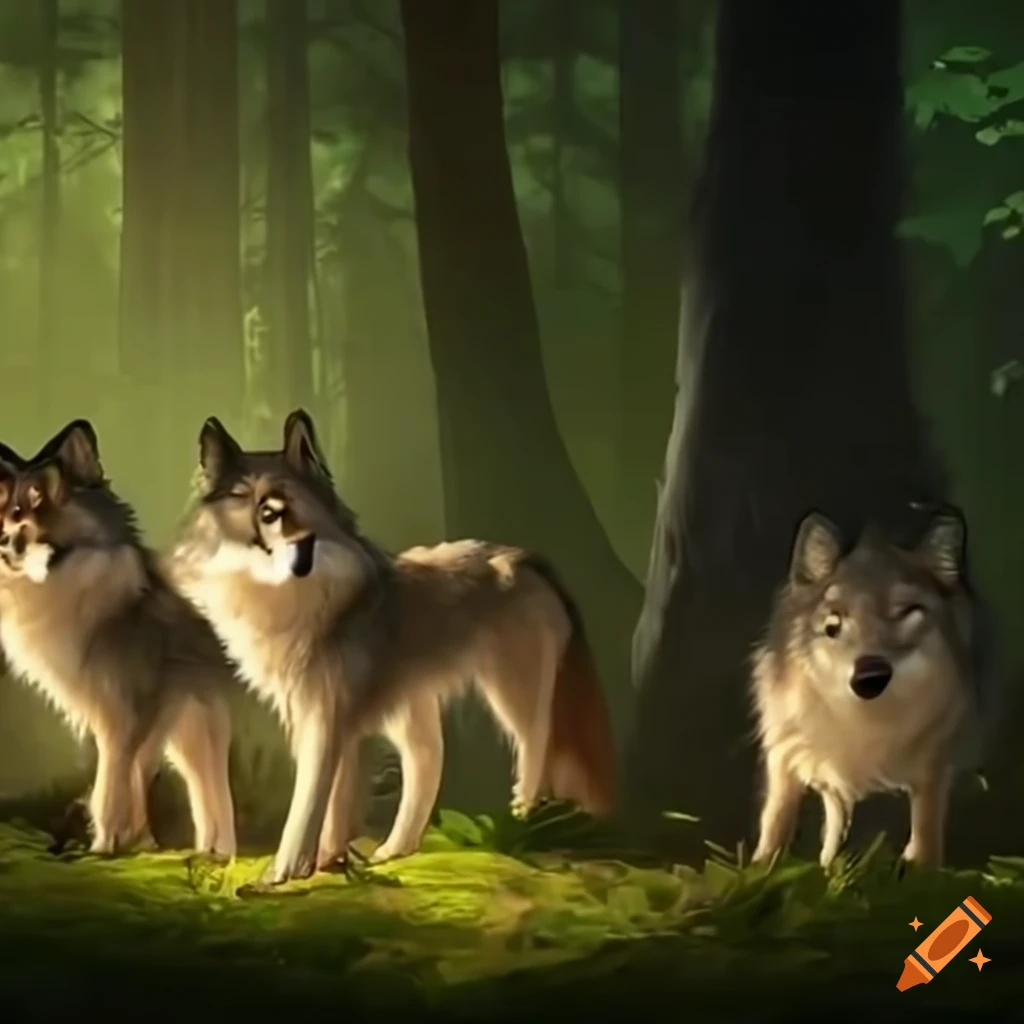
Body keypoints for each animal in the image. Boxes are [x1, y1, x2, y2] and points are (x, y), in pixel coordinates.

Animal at [0, 421, 237, 857]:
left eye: (45, 498)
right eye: (10, 510)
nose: (8, 543)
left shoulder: (131, 714)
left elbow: (113, 789)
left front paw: (107, 849)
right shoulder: (132, 716)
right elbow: (129, 786)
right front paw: (136, 845)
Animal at [168, 410, 616, 885]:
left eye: (278, 506)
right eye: (238, 498)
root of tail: (522, 556)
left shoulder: (326, 723)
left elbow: (306, 808)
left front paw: (282, 875)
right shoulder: (319, 720)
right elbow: (334, 809)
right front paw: (327, 865)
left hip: (511, 697)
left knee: (535, 751)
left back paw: (524, 822)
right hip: (413, 711)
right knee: (428, 764)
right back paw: (393, 852)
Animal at [749, 506, 985, 870]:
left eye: (906, 612)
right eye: (833, 623)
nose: (869, 674)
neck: (864, 725)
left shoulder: (932, 770)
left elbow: (925, 843)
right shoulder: (786, 759)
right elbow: (776, 826)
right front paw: (761, 872)